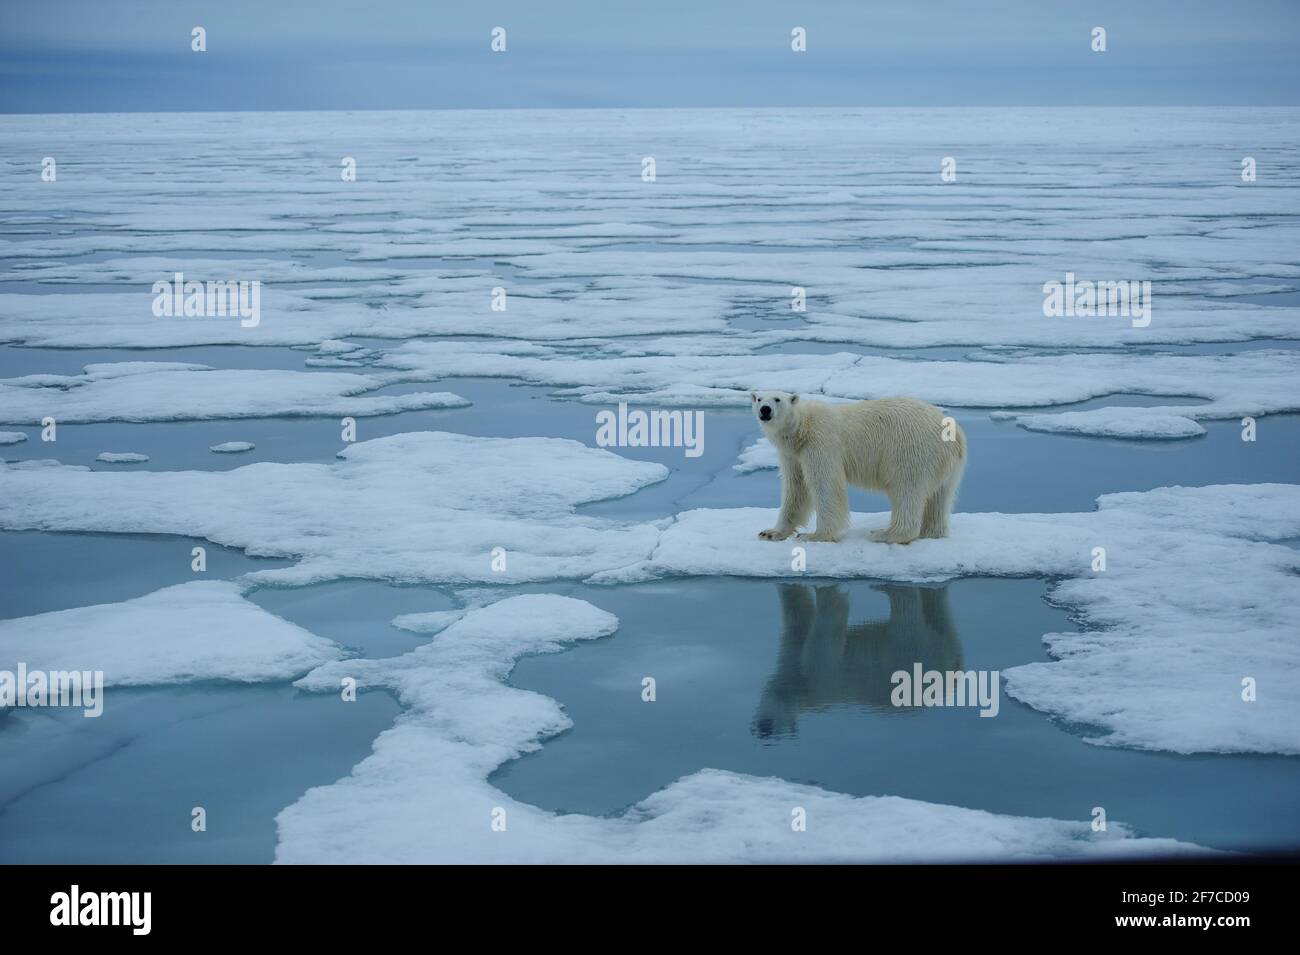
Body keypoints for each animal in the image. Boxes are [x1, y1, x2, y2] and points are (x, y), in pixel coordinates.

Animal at [750, 391, 966, 544]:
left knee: (907, 489)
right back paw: (931, 532)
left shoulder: (821, 443)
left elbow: (825, 485)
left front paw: (814, 535)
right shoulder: (792, 455)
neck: (803, 428)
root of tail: (956, 435)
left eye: (777, 399)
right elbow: (796, 489)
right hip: (947, 465)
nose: (765, 409)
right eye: (759, 398)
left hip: (912, 451)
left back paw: (885, 533)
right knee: (940, 496)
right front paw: (770, 532)